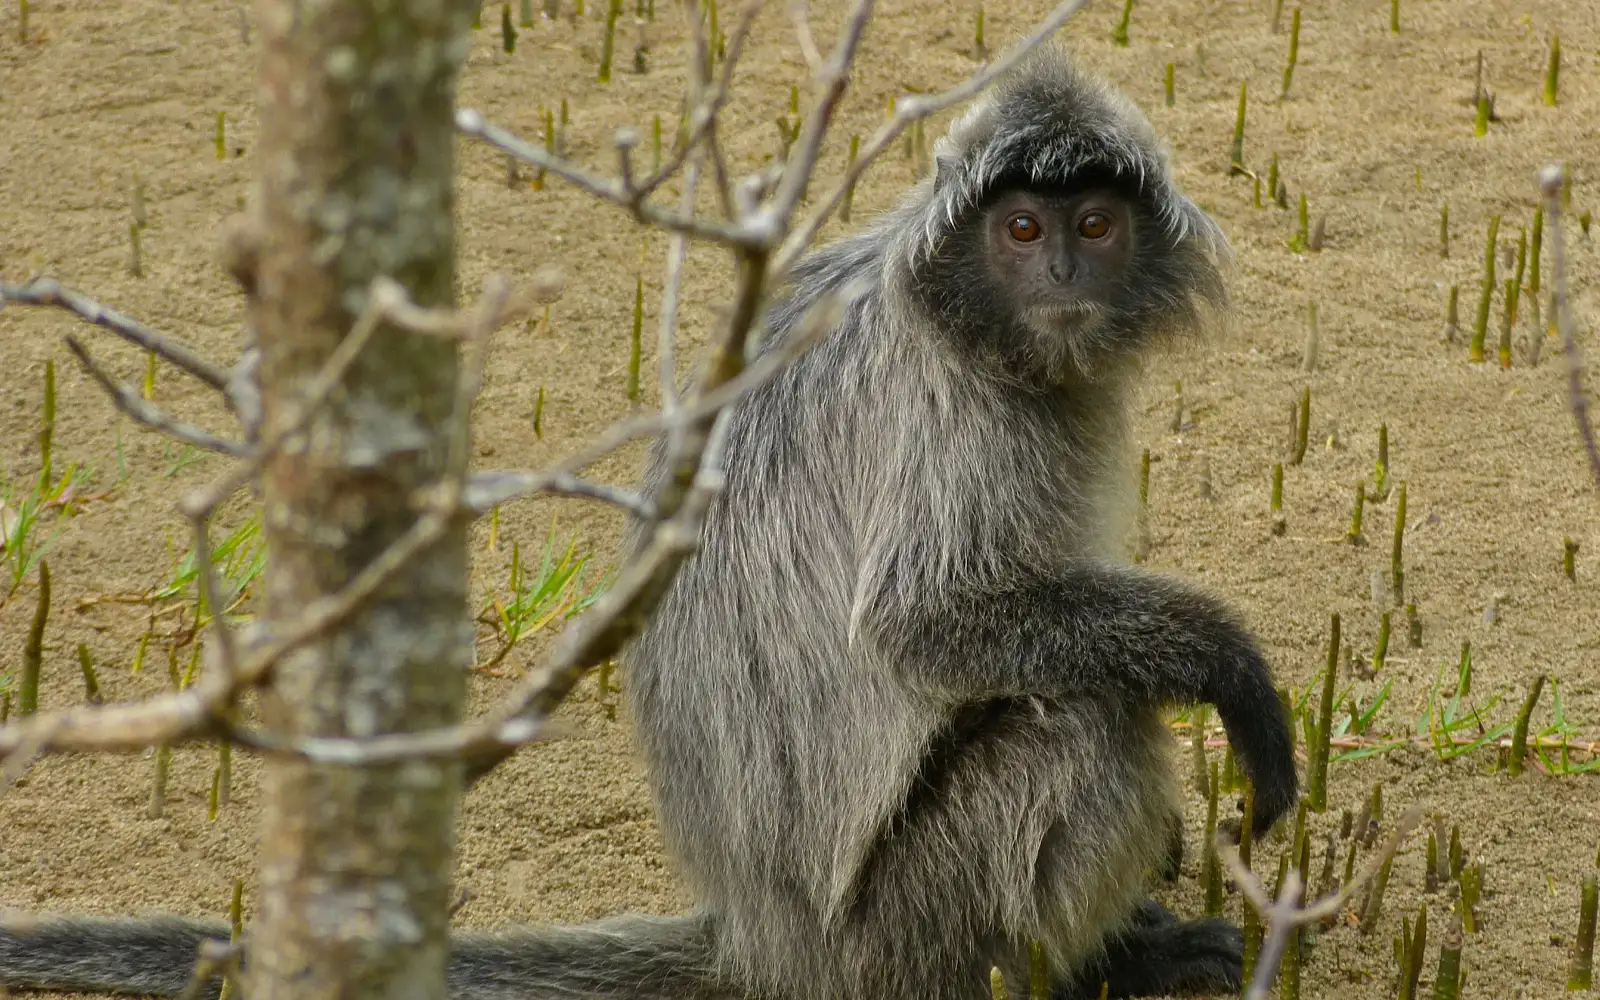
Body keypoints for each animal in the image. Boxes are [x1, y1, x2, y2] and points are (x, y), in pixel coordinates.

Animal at [0, 42, 1295, 1000]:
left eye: (1093, 227)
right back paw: (1087, 969)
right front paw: (1230, 670)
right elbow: (928, 625)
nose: (1065, 279)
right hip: (899, 927)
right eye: (1022, 231)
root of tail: (760, 940)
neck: (959, 314)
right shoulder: (959, 412)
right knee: (1084, 718)